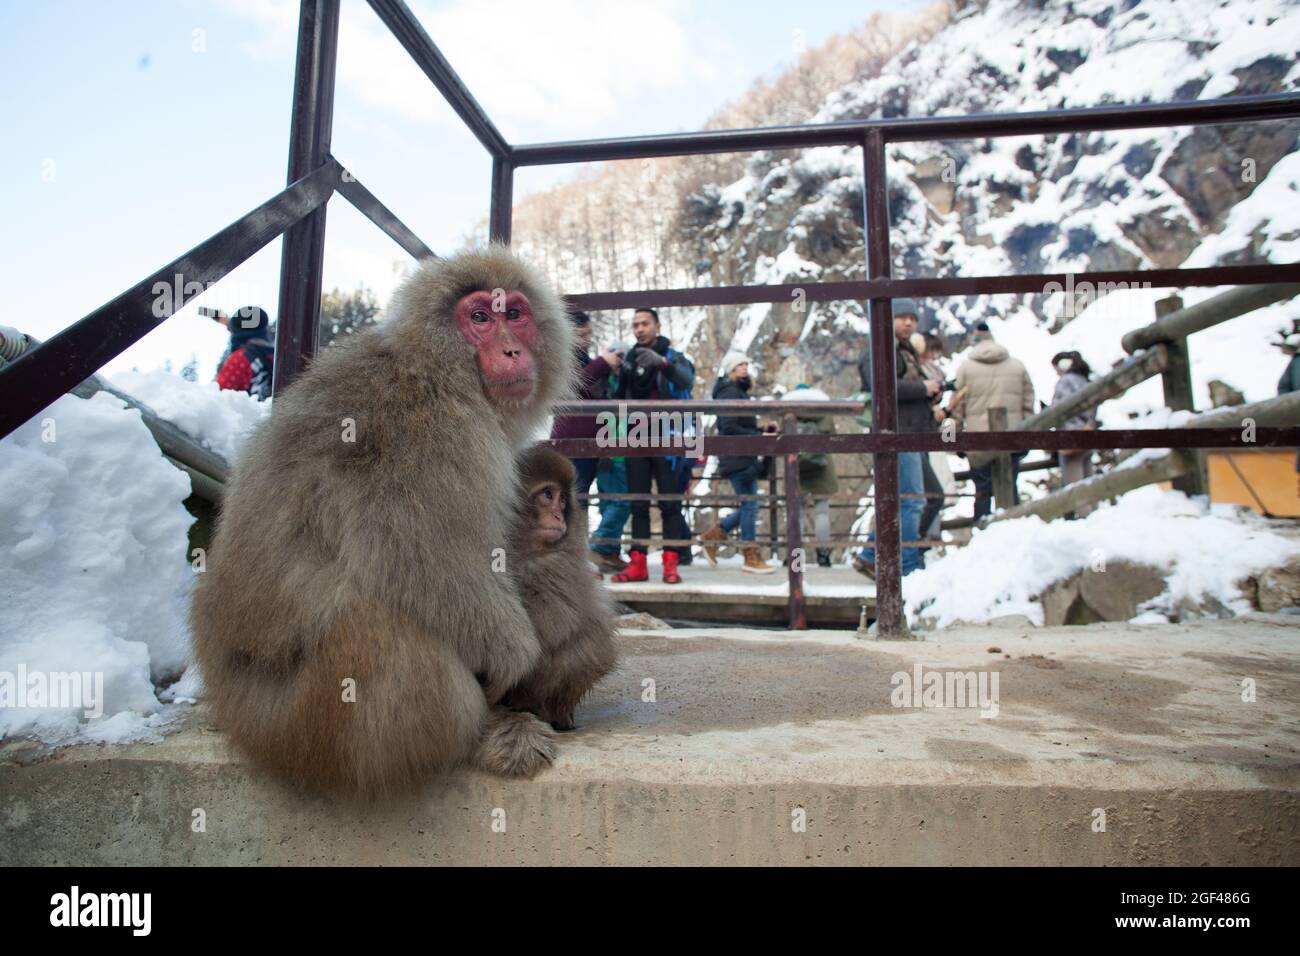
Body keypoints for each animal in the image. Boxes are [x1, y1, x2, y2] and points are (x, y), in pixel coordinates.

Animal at [190, 246, 575, 800]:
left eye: (516, 314)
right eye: (481, 317)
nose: (510, 351)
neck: (437, 371)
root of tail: (229, 714)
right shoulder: (429, 433)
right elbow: (414, 551)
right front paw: (512, 653)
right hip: (300, 722)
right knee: (378, 624)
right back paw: (484, 734)